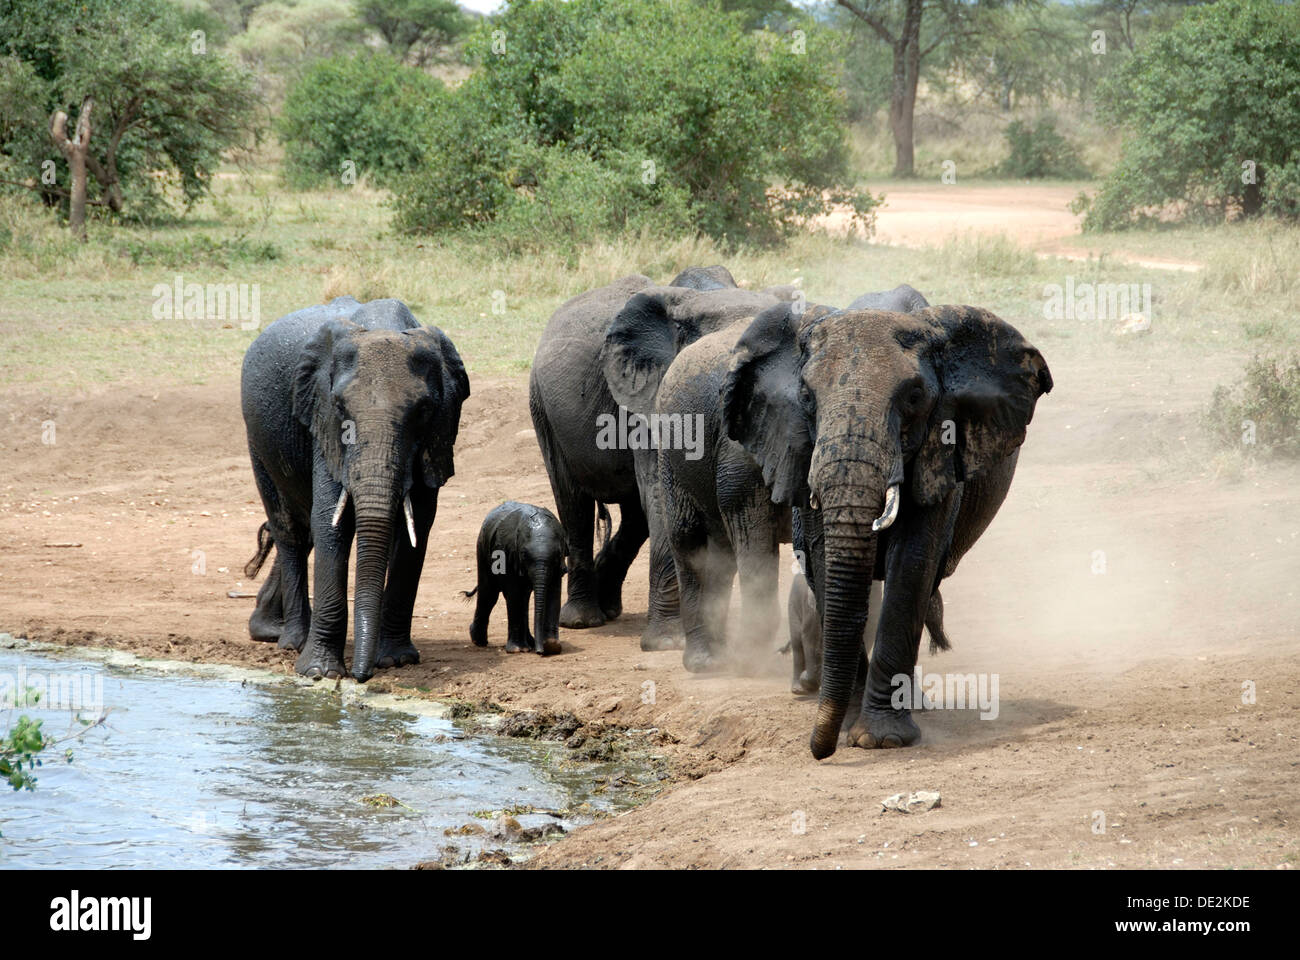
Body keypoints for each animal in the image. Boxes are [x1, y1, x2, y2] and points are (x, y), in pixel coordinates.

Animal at [241, 296, 469, 681]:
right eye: (339, 407)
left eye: (423, 411)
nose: (362, 676)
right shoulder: (323, 423)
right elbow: (329, 521)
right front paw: (319, 672)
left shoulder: (437, 432)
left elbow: (418, 525)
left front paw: (395, 661)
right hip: (257, 439)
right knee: (290, 529)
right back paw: (291, 641)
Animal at [464, 501, 567, 655]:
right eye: (523, 554)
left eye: (558, 554)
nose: (539, 652)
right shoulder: (507, 553)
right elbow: (514, 594)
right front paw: (517, 650)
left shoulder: (557, 565)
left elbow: (553, 592)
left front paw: (552, 646)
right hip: (482, 548)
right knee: (489, 594)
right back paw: (479, 641)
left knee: (523, 597)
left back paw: (530, 642)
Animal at [722, 302, 1052, 758]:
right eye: (805, 397)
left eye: (914, 397)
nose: (819, 751)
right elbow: (824, 560)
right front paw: (848, 730)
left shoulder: (940, 451)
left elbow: (912, 562)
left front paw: (881, 739)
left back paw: (914, 704)